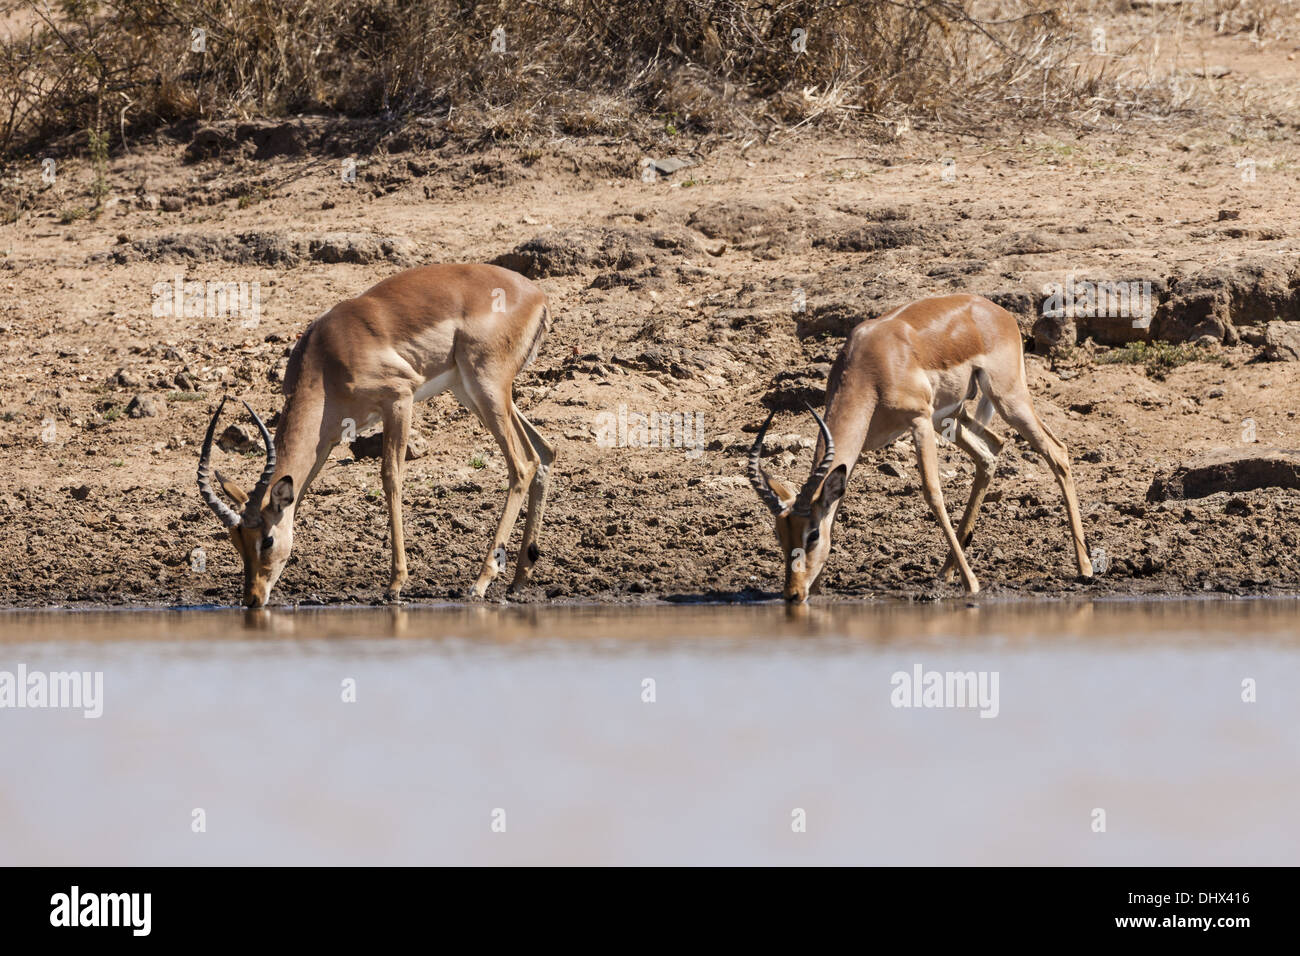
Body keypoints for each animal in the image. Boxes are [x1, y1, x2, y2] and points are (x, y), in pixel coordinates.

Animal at [197, 264, 556, 607]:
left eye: (267, 539)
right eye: (236, 540)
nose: (253, 599)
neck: (326, 362)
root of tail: (536, 295)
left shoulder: (399, 399)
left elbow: (391, 477)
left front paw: (395, 584)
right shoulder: (327, 441)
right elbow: (302, 495)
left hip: (485, 386)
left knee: (522, 466)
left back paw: (481, 581)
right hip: (470, 391)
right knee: (543, 452)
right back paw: (519, 579)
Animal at [748, 293, 1093, 603]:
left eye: (812, 534)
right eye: (779, 533)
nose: (793, 593)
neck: (874, 366)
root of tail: (997, 312)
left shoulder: (919, 421)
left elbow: (933, 492)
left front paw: (972, 584)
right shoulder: (862, 446)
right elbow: (837, 502)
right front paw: (817, 587)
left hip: (1006, 400)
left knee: (1057, 451)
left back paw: (1085, 568)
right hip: (951, 417)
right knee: (991, 451)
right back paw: (946, 571)